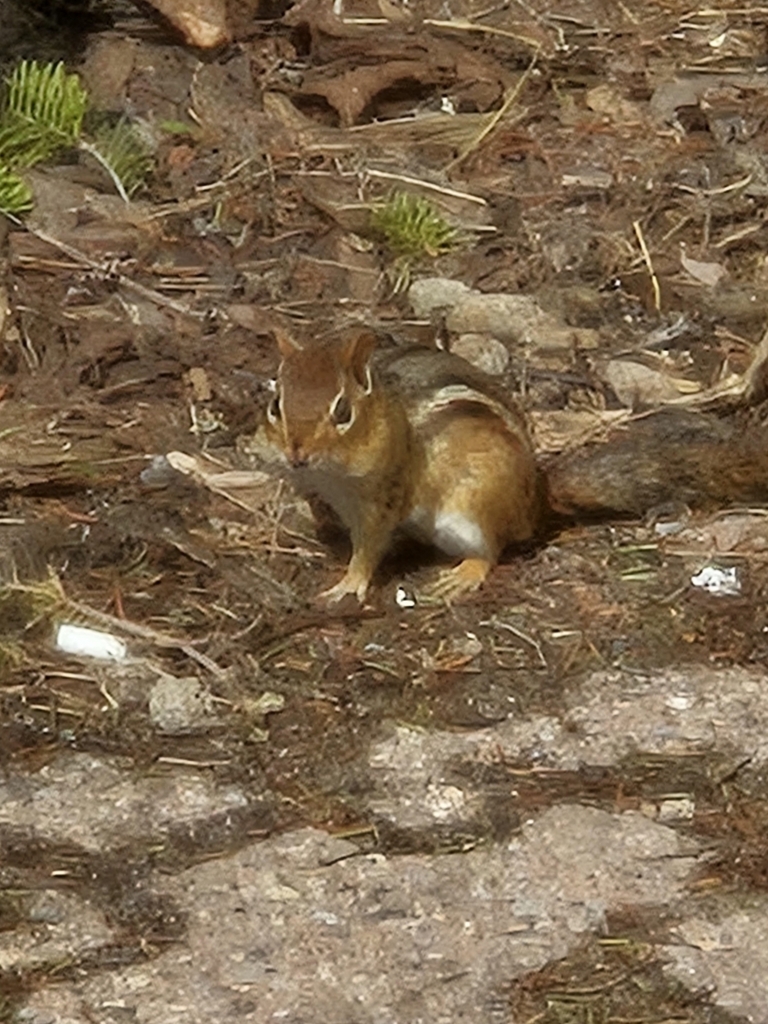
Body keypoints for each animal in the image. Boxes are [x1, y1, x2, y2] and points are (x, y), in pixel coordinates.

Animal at [264, 327, 768, 604]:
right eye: (275, 403)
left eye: (342, 412)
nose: (296, 454)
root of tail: (537, 501)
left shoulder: (384, 498)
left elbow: (368, 548)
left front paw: (349, 584)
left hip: (472, 508)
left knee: (491, 549)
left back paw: (465, 574)